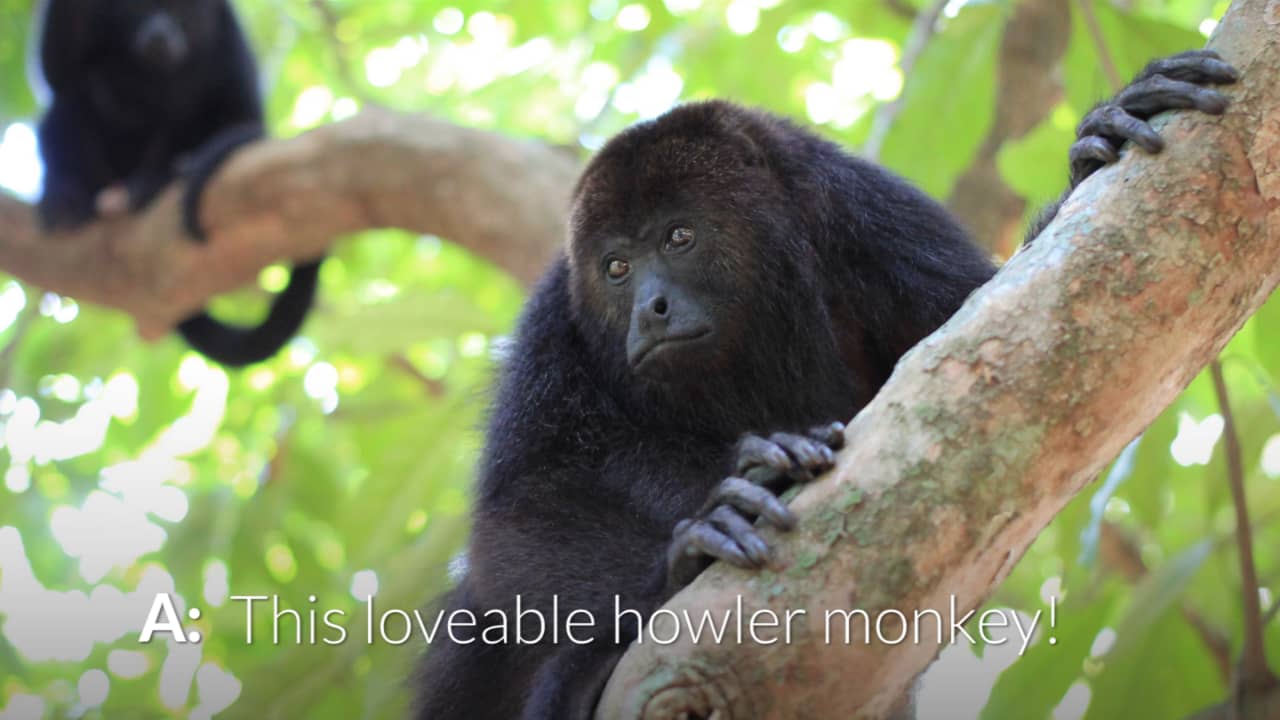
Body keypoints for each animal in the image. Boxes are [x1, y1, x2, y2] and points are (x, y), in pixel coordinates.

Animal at [33, 0, 321, 367]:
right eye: (140, 8)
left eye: (183, 10)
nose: (161, 32)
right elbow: (58, 71)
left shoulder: (229, 39)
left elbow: (240, 115)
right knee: (72, 101)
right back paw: (64, 196)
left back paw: (152, 184)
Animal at [412, 51, 1237, 720]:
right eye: (615, 266)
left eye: (679, 237)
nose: (649, 308)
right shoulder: (556, 318)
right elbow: (515, 523)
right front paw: (692, 546)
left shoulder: (865, 215)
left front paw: (1098, 149)